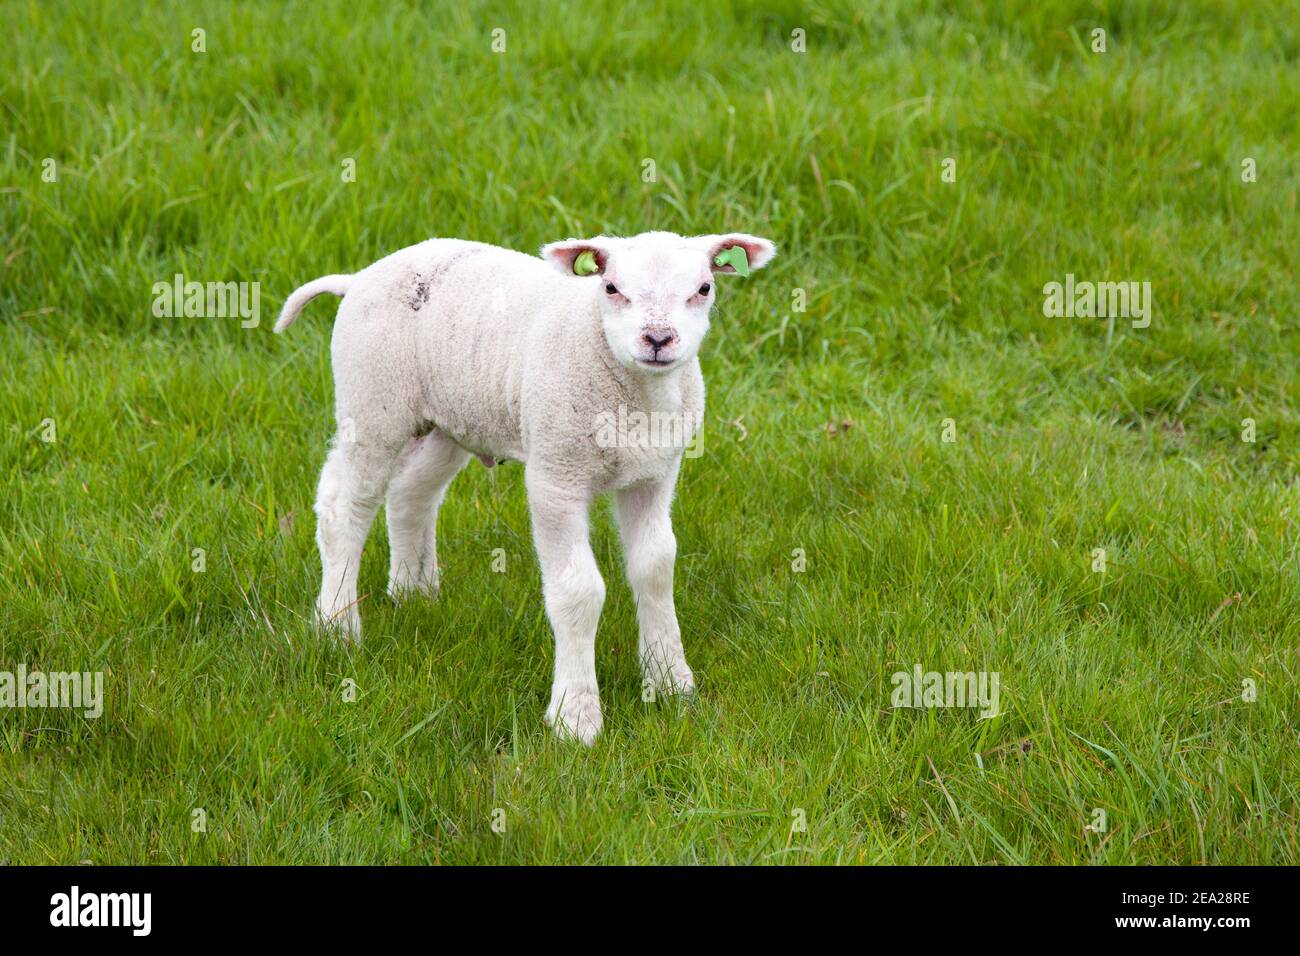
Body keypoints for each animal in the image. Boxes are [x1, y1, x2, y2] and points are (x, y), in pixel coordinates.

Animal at [275, 230, 776, 743]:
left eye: (704, 288)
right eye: (611, 287)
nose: (658, 339)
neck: (633, 397)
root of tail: (359, 276)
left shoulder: (654, 475)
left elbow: (655, 569)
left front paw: (671, 682)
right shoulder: (556, 476)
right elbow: (578, 591)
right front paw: (575, 717)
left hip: (450, 418)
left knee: (411, 492)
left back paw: (413, 592)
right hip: (373, 400)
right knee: (344, 509)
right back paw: (337, 626)